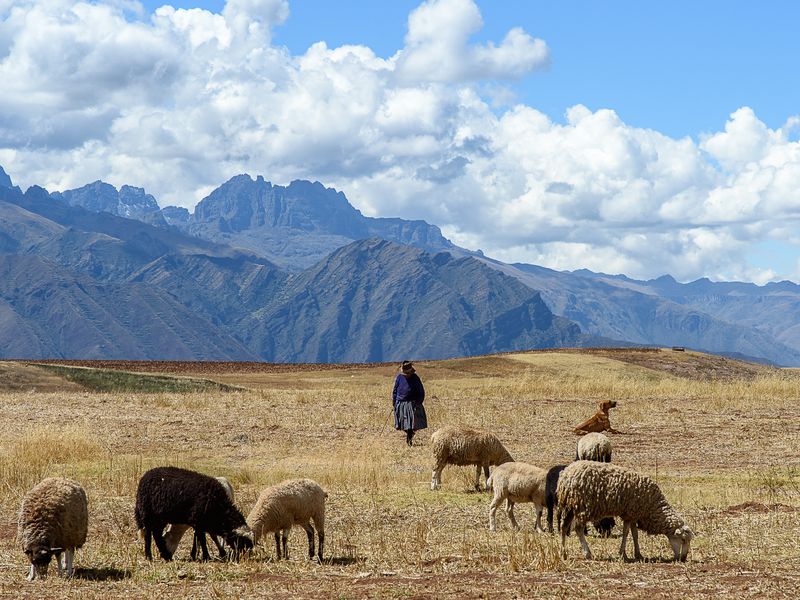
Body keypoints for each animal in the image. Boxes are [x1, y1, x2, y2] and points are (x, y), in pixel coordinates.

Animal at [557, 461, 694, 562]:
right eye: (683, 540)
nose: (683, 558)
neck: (653, 506)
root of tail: (565, 476)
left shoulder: (634, 514)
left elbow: (635, 534)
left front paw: (638, 554)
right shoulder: (629, 514)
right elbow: (626, 533)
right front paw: (623, 554)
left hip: (570, 507)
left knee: (563, 527)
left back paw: (563, 553)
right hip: (583, 508)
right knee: (578, 528)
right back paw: (587, 554)